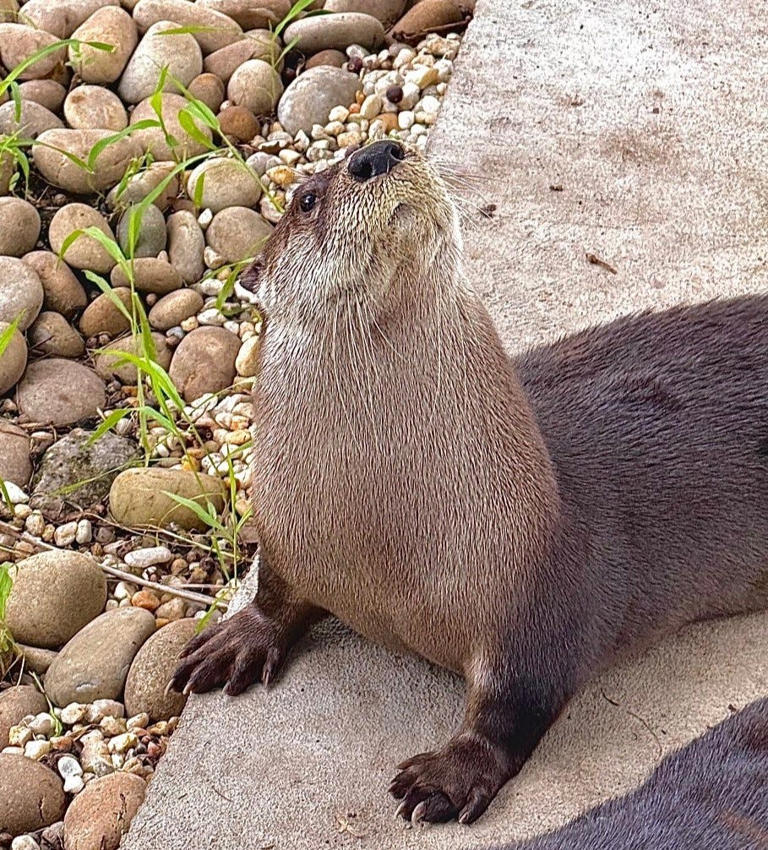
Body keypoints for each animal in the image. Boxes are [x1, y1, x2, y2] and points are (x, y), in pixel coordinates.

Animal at [171, 139, 768, 825]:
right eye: (307, 199)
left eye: (395, 146)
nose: (379, 152)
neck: (382, 540)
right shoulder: (289, 531)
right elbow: (274, 591)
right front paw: (239, 638)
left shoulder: (541, 603)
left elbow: (512, 708)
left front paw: (451, 774)